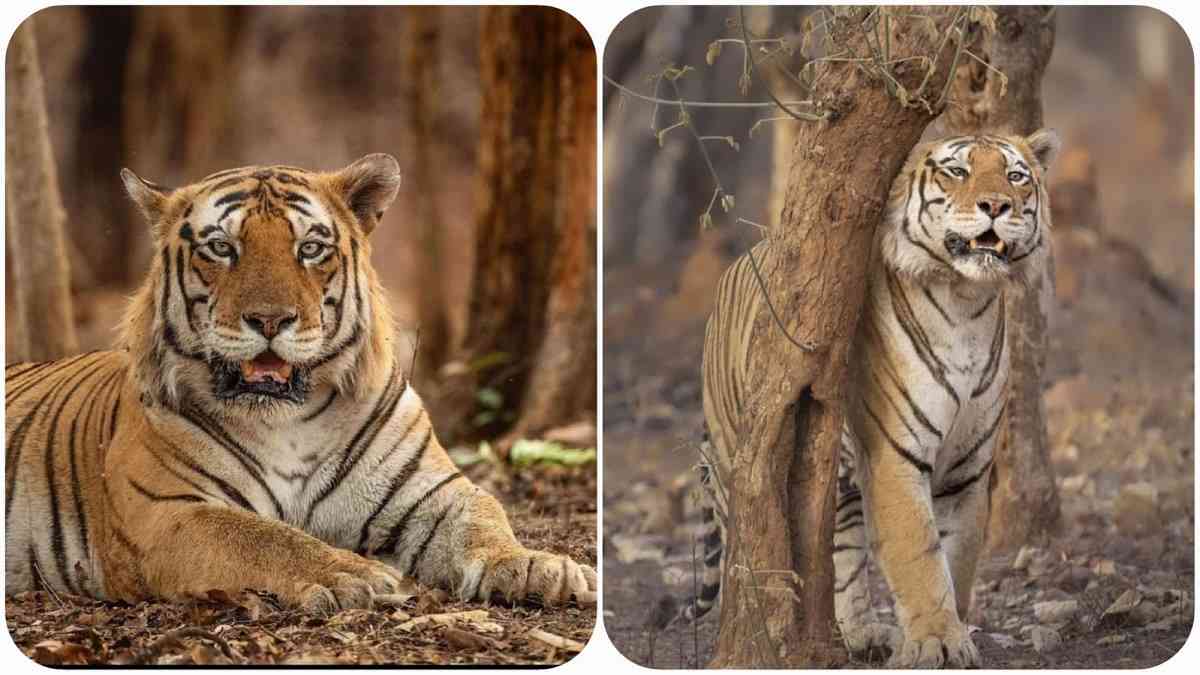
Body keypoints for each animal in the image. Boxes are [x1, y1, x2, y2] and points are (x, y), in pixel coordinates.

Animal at [5, 154, 596, 612]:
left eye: (310, 248)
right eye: (221, 248)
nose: (270, 320)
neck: (287, 418)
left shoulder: (431, 492)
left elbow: (485, 516)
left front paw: (534, 567)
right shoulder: (166, 510)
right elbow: (261, 538)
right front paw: (351, 573)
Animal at [688, 129, 1060, 667]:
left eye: (1015, 176)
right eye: (958, 171)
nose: (996, 204)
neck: (968, 302)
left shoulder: (967, 469)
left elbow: (958, 556)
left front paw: (951, 631)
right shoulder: (893, 456)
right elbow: (919, 556)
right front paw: (937, 641)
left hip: (838, 485)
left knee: (841, 552)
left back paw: (860, 634)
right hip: (733, 457)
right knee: (740, 547)